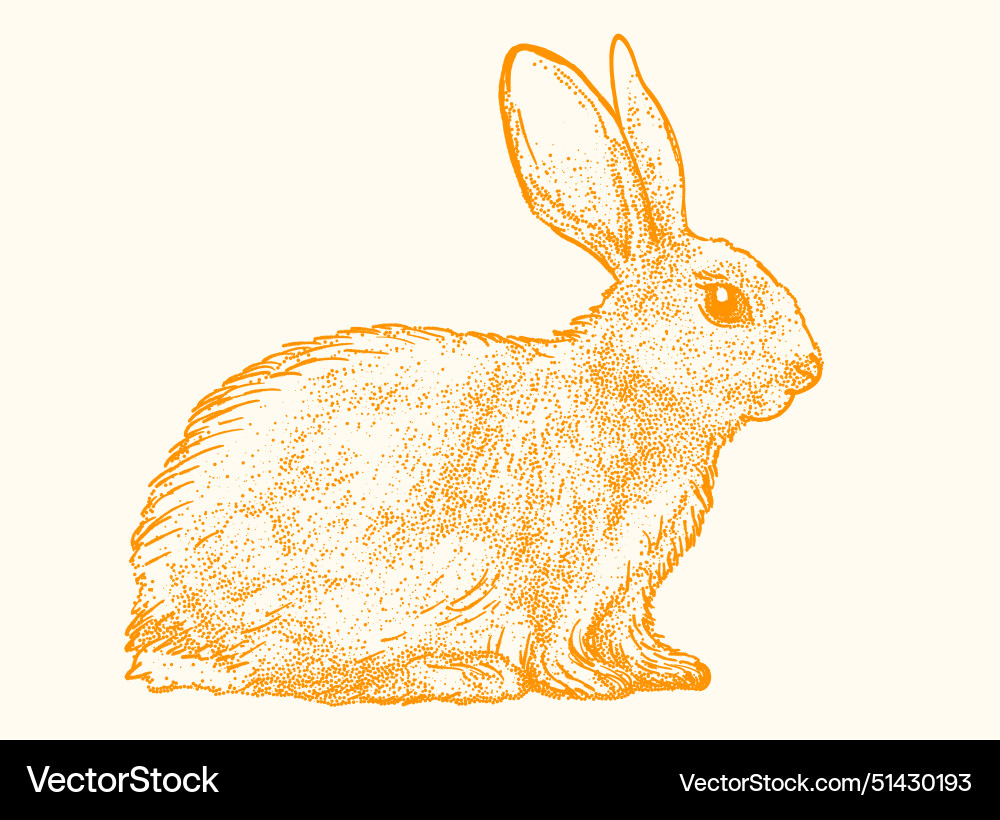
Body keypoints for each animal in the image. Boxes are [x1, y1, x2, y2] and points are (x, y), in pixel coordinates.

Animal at [126, 34, 822, 705]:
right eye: (723, 302)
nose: (810, 370)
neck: (624, 389)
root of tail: (154, 626)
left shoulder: (625, 586)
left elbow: (625, 633)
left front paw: (669, 669)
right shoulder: (563, 571)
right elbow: (557, 638)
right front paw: (592, 684)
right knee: (297, 670)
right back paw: (460, 678)